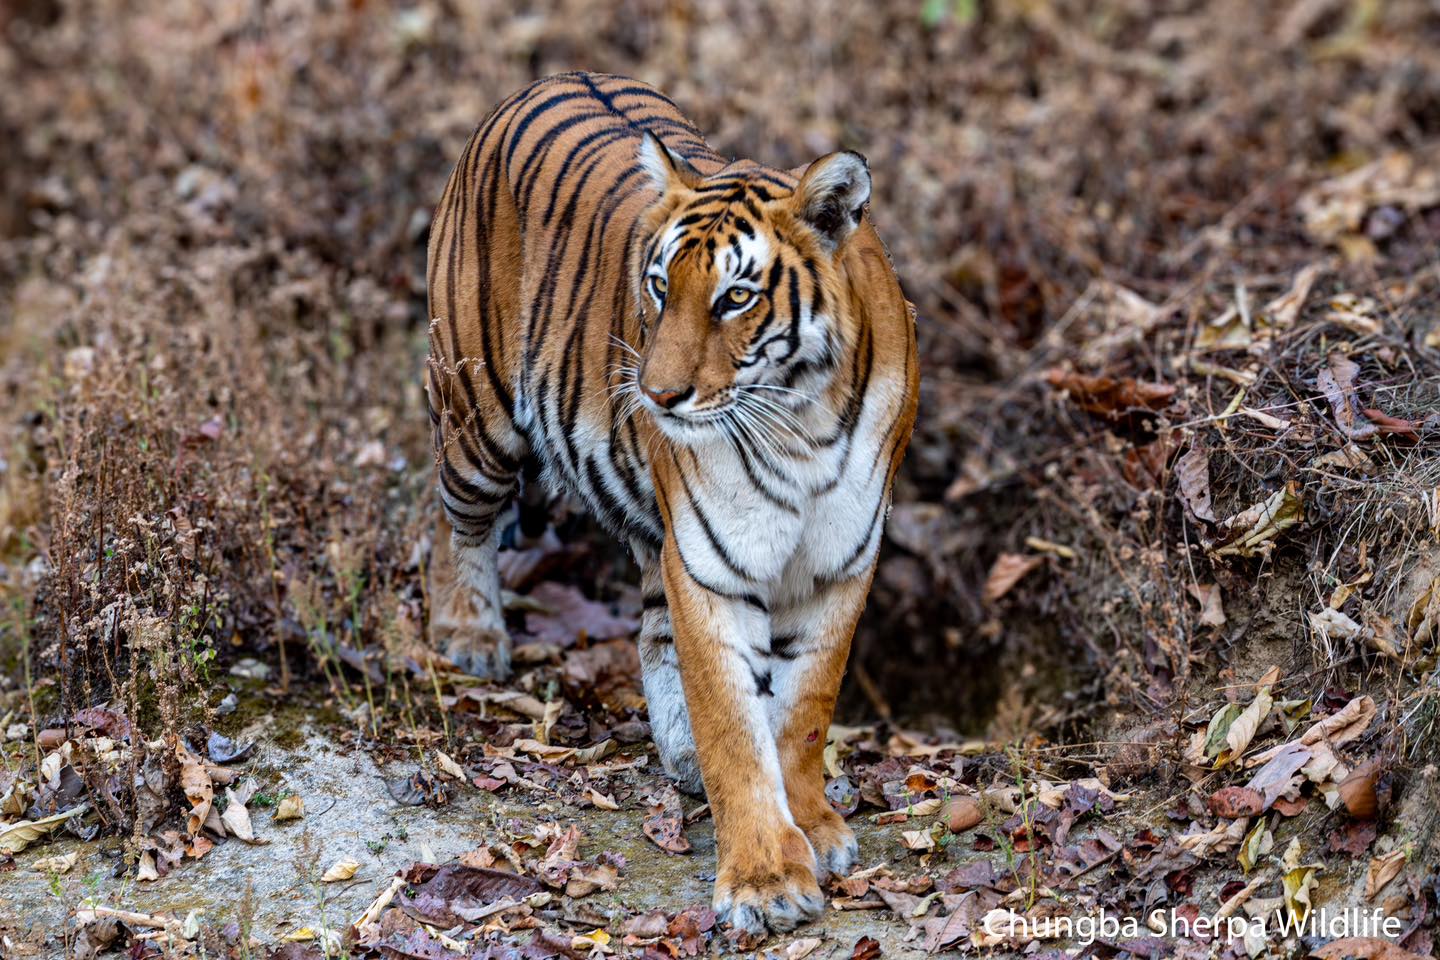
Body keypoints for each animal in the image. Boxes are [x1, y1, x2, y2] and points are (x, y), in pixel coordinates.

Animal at [424, 71, 918, 934]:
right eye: (659, 286)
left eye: (736, 298)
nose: (655, 397)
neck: (801, 419)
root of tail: (549, 76)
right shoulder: (714, 562)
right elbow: (733, 724)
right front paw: (765, 880)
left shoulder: (839, 564)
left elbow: (803, 712)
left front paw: (812, 827)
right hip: (477, 421)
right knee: (454, 523)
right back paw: (473, 635)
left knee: (655, 631)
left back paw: (678, 750)